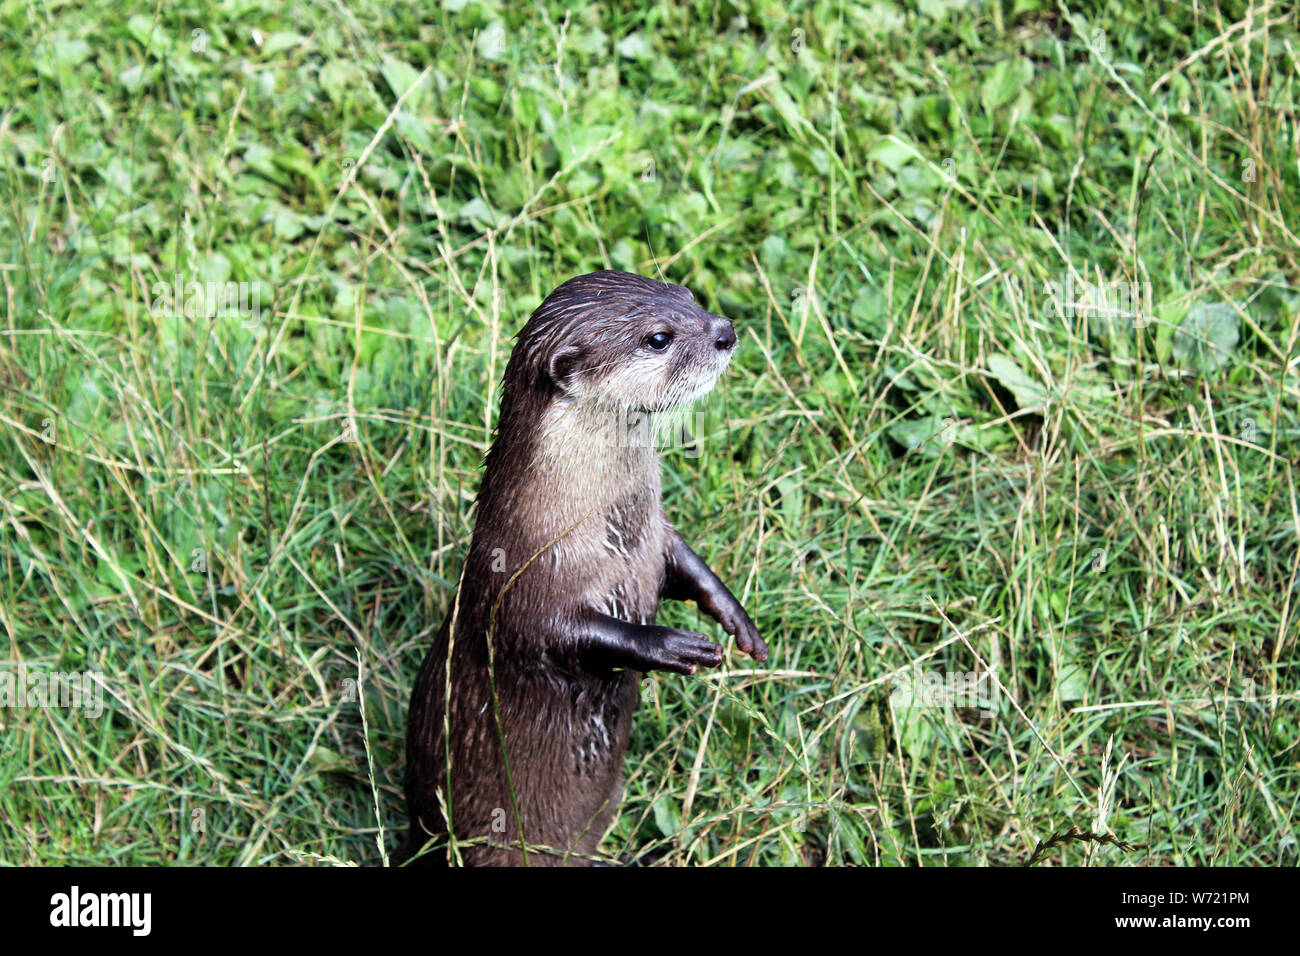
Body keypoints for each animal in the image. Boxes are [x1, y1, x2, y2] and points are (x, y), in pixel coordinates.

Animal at [397, 270, 767, 867]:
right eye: (658, 338)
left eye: (688, 295)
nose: (725, 332)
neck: (608, 527)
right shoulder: (521, 579)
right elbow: (558, 634)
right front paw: (670, 644)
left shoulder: (655, 539)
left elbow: (686, 565)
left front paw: (735, 618)